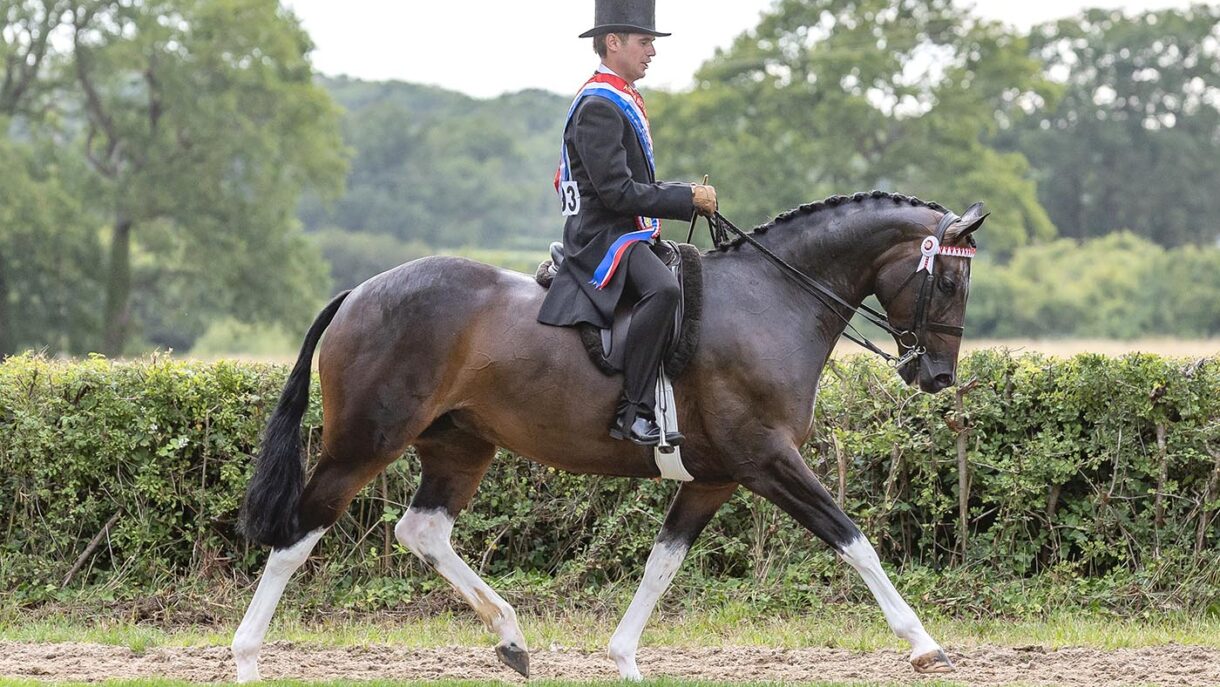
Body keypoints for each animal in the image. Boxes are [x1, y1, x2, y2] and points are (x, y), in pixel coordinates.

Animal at [230, 190, 987, 682]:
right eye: (949, 279)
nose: (937, 374)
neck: (771, 300)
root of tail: (359, 292)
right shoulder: (768, 459)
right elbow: (853, 540)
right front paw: (924, 644)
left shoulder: (714, 477)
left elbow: (662, 563)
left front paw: (623, 658)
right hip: (365, 442)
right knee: (299, 534)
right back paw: (246, 658)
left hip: (459, 444)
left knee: (423, 529)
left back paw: (511, 637)